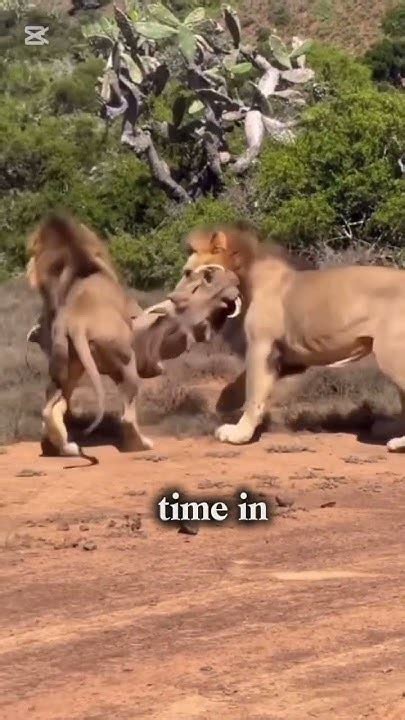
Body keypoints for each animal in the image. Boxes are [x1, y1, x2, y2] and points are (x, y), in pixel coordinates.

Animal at [177, 220, 405, 452]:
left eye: (188, 272)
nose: (174, 298)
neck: (246, 281)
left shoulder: (261, 346)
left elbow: (253, 392)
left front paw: (238, 434)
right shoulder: (288, 358)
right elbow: (239, 384)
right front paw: (224, 404)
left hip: (392, 356)